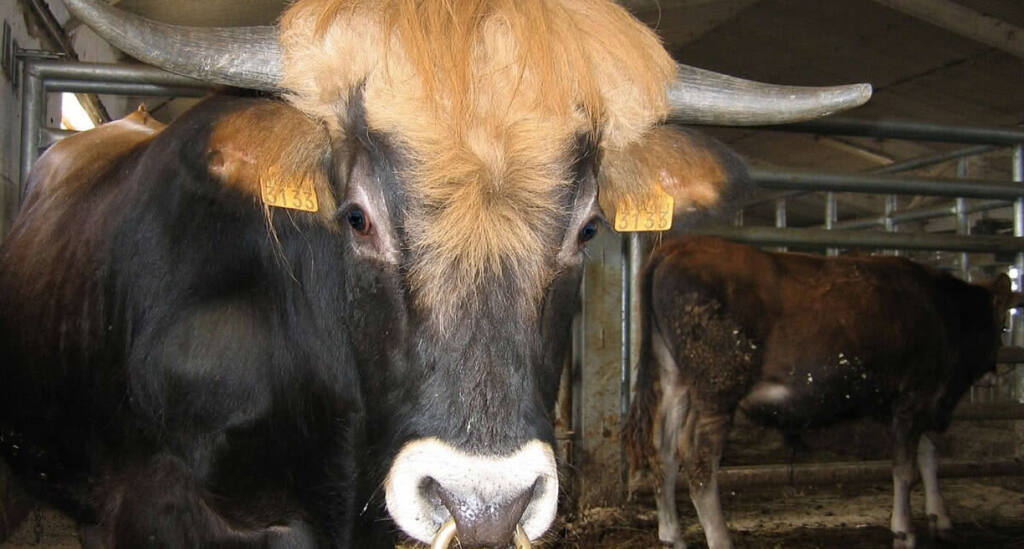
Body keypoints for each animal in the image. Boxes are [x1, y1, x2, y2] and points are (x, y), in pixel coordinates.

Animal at [625, 235, 1015, 549]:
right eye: (1003, 324)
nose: (1003, 370)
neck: (942, 311)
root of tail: (678, 246)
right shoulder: (913, 396)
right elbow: (906, 469)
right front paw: (904, 530)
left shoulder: (913, 404)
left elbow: (928, 455)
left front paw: (940, 518)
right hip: (718, 388)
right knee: (699, 458)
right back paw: (720, 539)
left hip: (676, 380)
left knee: (663, 449)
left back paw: (672, 535)